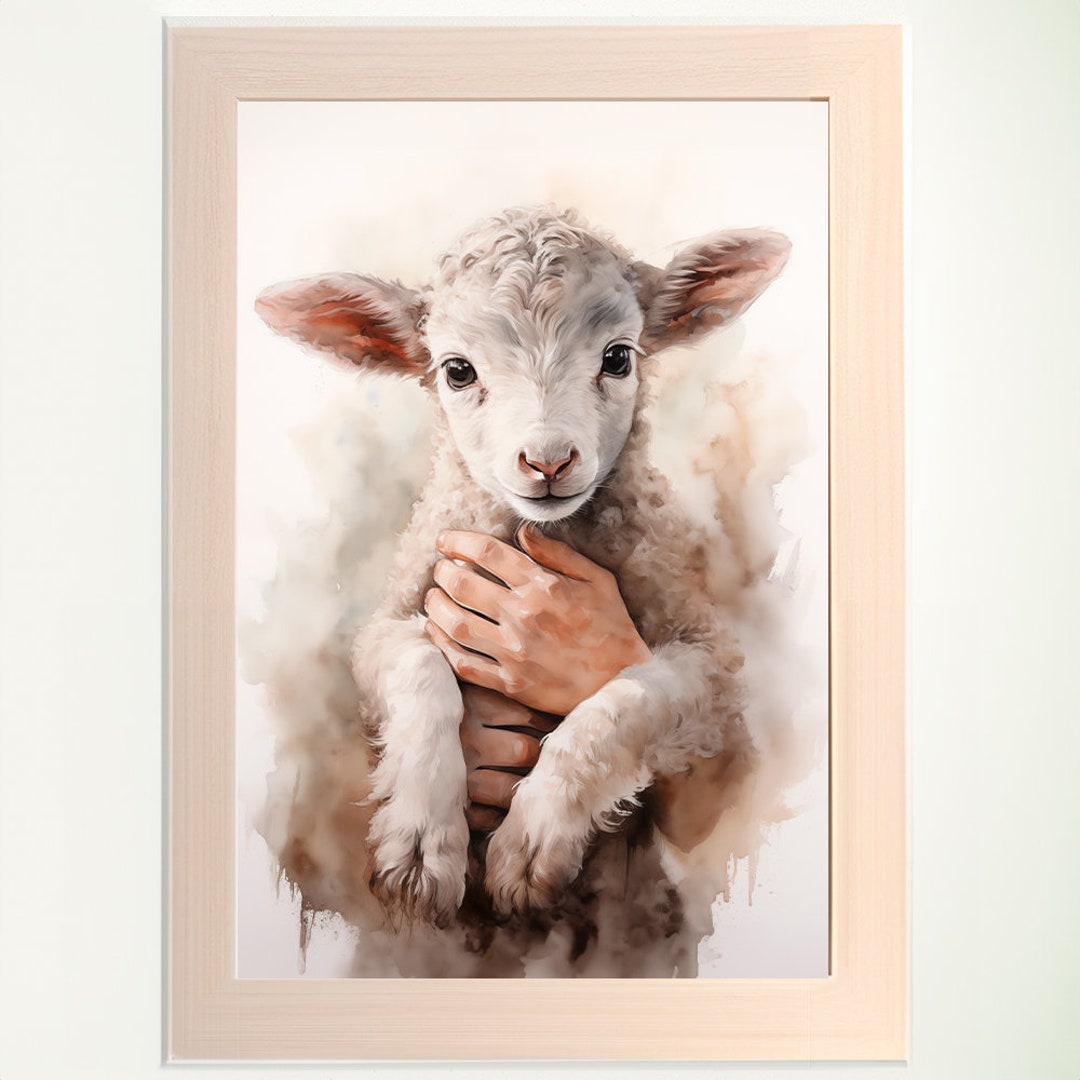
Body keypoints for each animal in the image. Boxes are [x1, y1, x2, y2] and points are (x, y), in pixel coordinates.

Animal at [254, 205, 791, 929]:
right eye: (457, 370)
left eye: (618, 357)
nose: (547, 461)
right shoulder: (386, 626)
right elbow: (420, 671)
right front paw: (420, 850)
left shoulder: (713, 666)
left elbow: (624, 702)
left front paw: (531, 848)